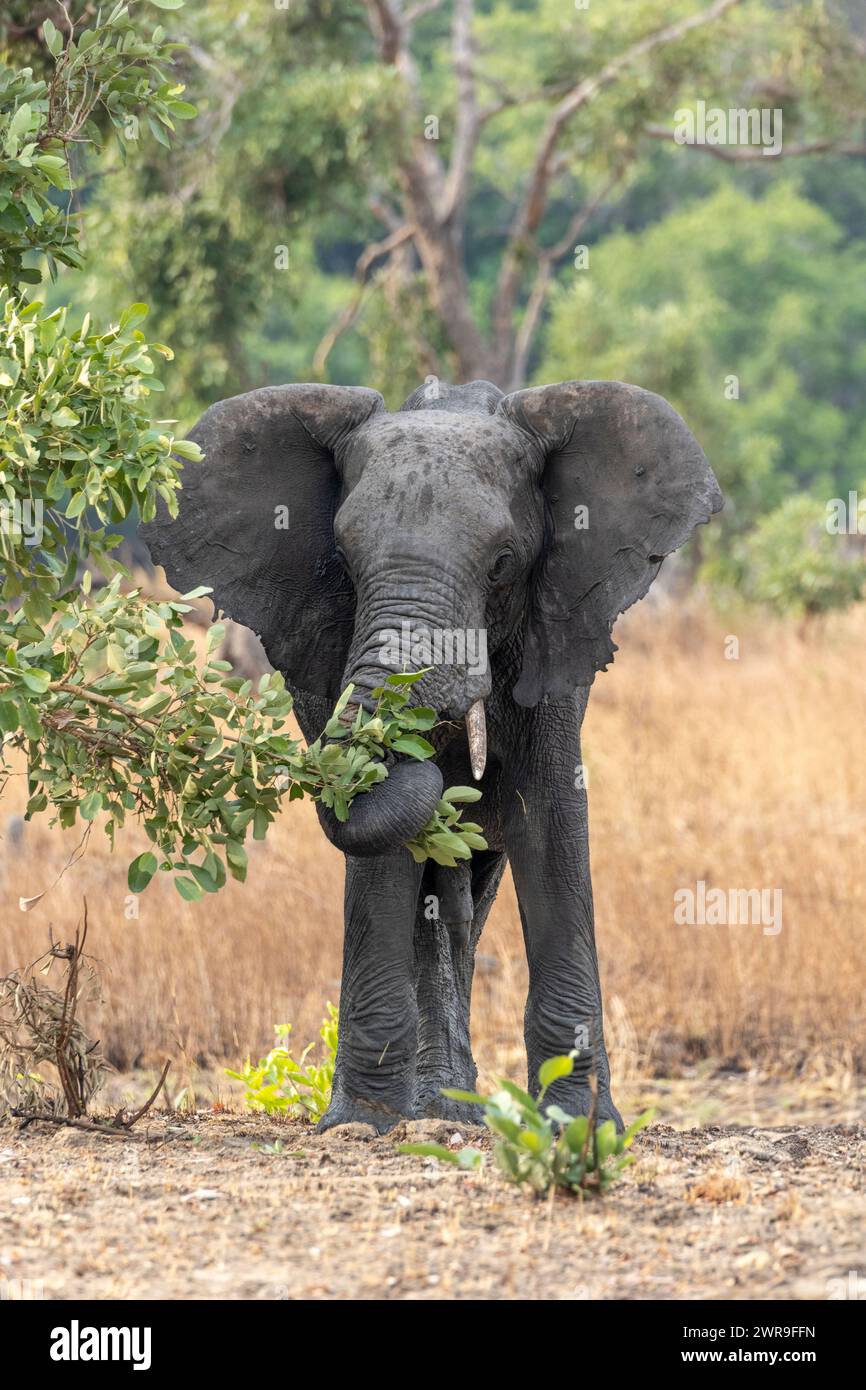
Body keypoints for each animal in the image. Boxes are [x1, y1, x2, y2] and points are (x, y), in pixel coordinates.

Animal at [143, 376, 722, 1133]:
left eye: (503, 564)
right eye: (343, 561)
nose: (432, 750)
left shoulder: (555, 638)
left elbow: (551, 825)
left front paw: (580, 1126)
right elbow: (384, 854)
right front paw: (359, 1124)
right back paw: (438, 1109)